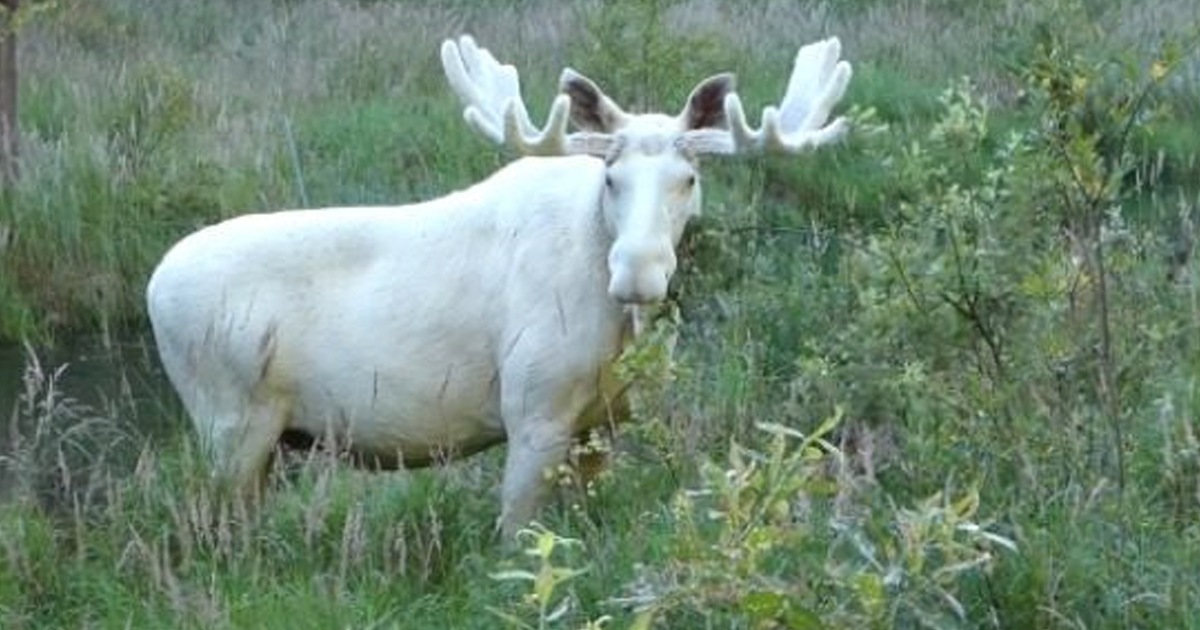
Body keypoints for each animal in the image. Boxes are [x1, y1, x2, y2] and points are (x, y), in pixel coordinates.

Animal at [145, 33, 852, 536]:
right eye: (611, 178)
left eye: (690, 178)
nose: (637, 272)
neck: (616, 331)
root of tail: (152, 286)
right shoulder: (532, 408)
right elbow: (516, 536)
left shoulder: (603, 423)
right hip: (228, 420)